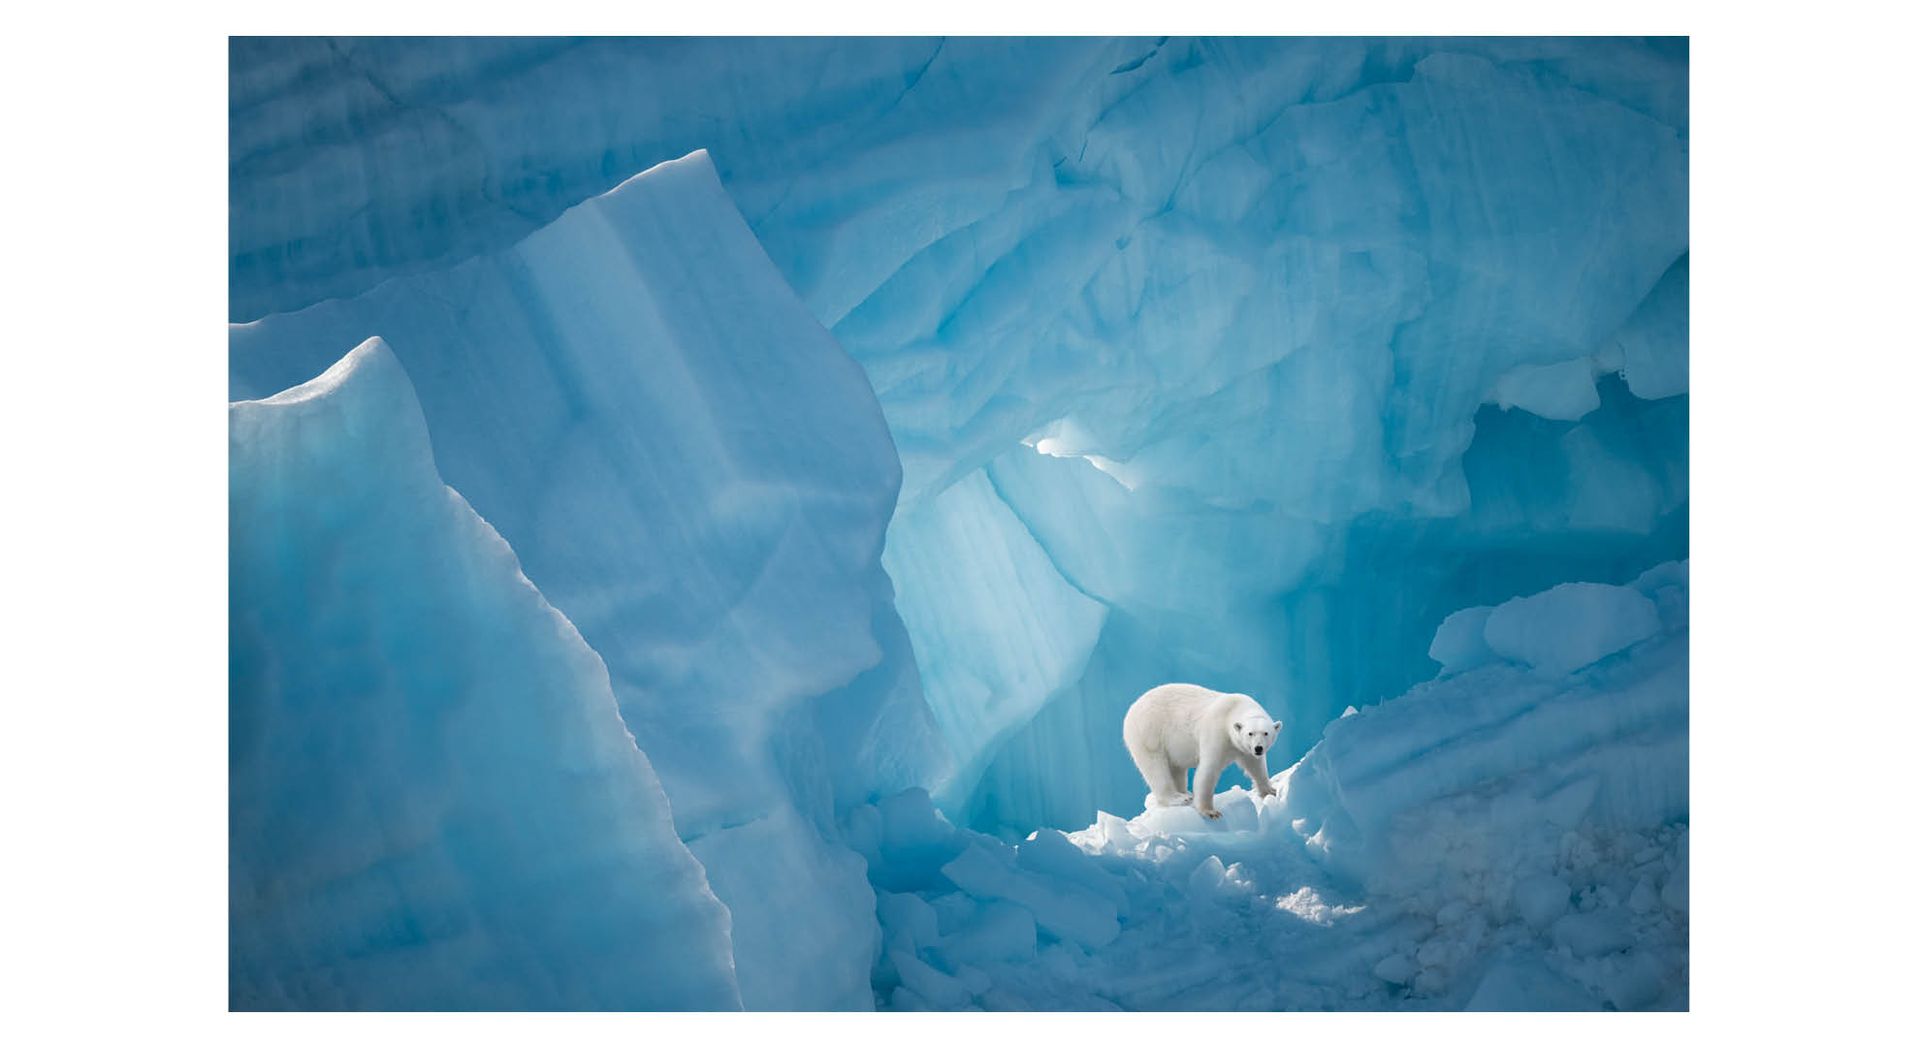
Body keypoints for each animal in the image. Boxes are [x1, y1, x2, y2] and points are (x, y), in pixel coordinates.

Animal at [1122, 683, 1281, 819]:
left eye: (1266, 733)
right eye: (1250, 733)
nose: (1258, 748)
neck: (1234, 708)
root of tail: (1132, 708)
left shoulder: (1242, 748)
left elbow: (1256, 766)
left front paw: (1271, 791)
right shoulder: (1217, 733)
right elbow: (1208, 770)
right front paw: (1210, 812)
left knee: (1176, 768)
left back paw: (1184, 792)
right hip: (1149, 732)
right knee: (1156, 767)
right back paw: (1179, 797)